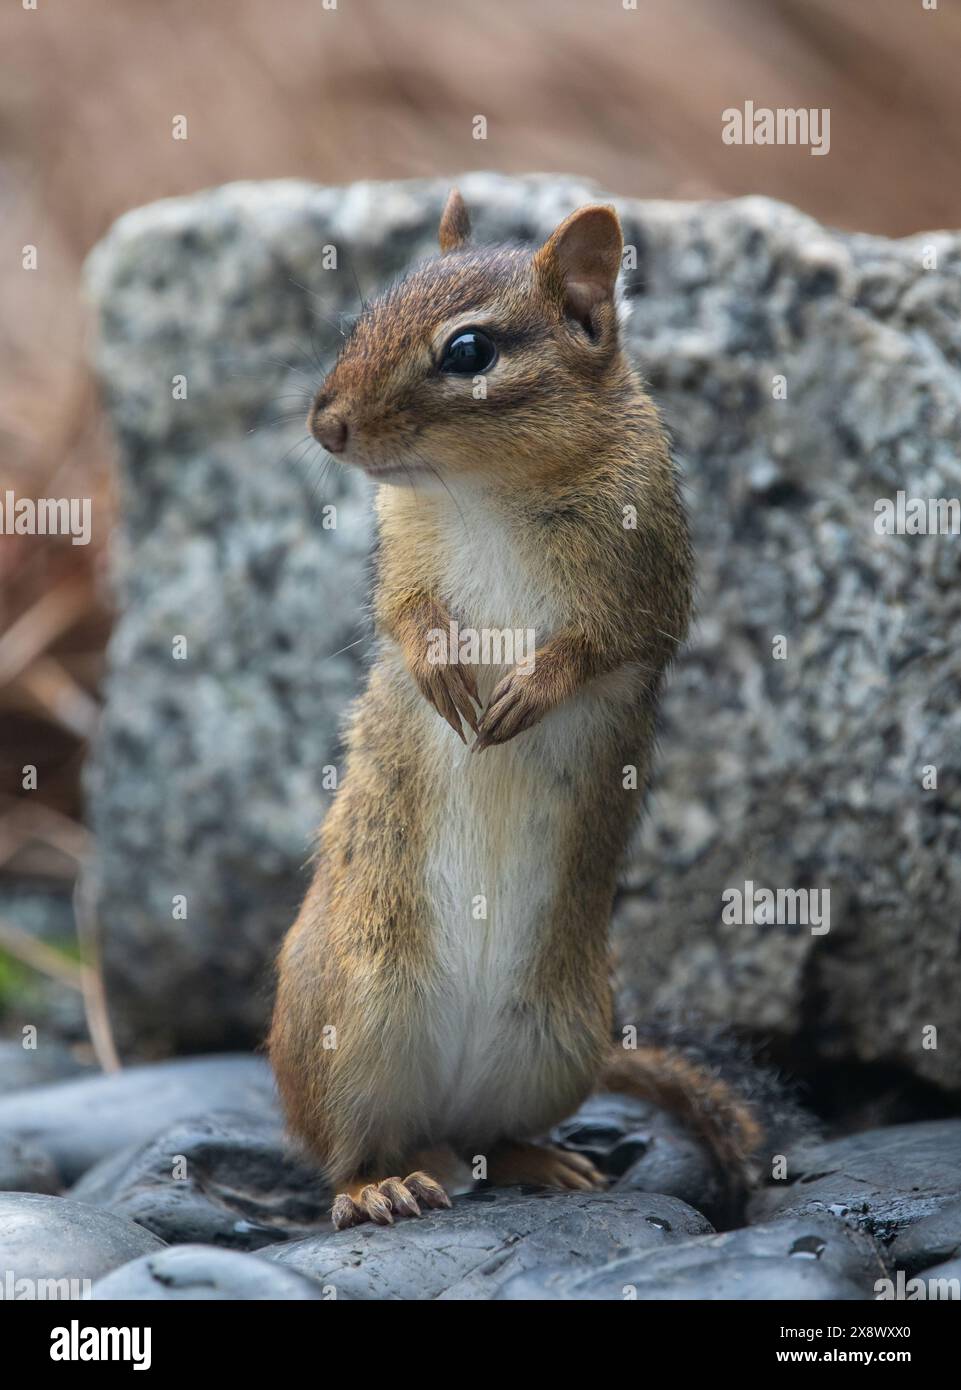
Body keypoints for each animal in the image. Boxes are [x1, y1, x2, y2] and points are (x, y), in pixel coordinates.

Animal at [269, 189, 769, 1231]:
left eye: (468, 352)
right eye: (363, 314)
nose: (325, 425)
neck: (485, 489)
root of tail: (439, 1113)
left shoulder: (647, 584)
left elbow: (598, 648)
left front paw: (526, 691)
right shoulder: (402, 557)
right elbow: (405, 616)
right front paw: (441, 673)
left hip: (557, 1039)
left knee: (489, 1139)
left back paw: (539, 1161)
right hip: (349, 1023)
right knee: (342, 1156)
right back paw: (380, 1185)